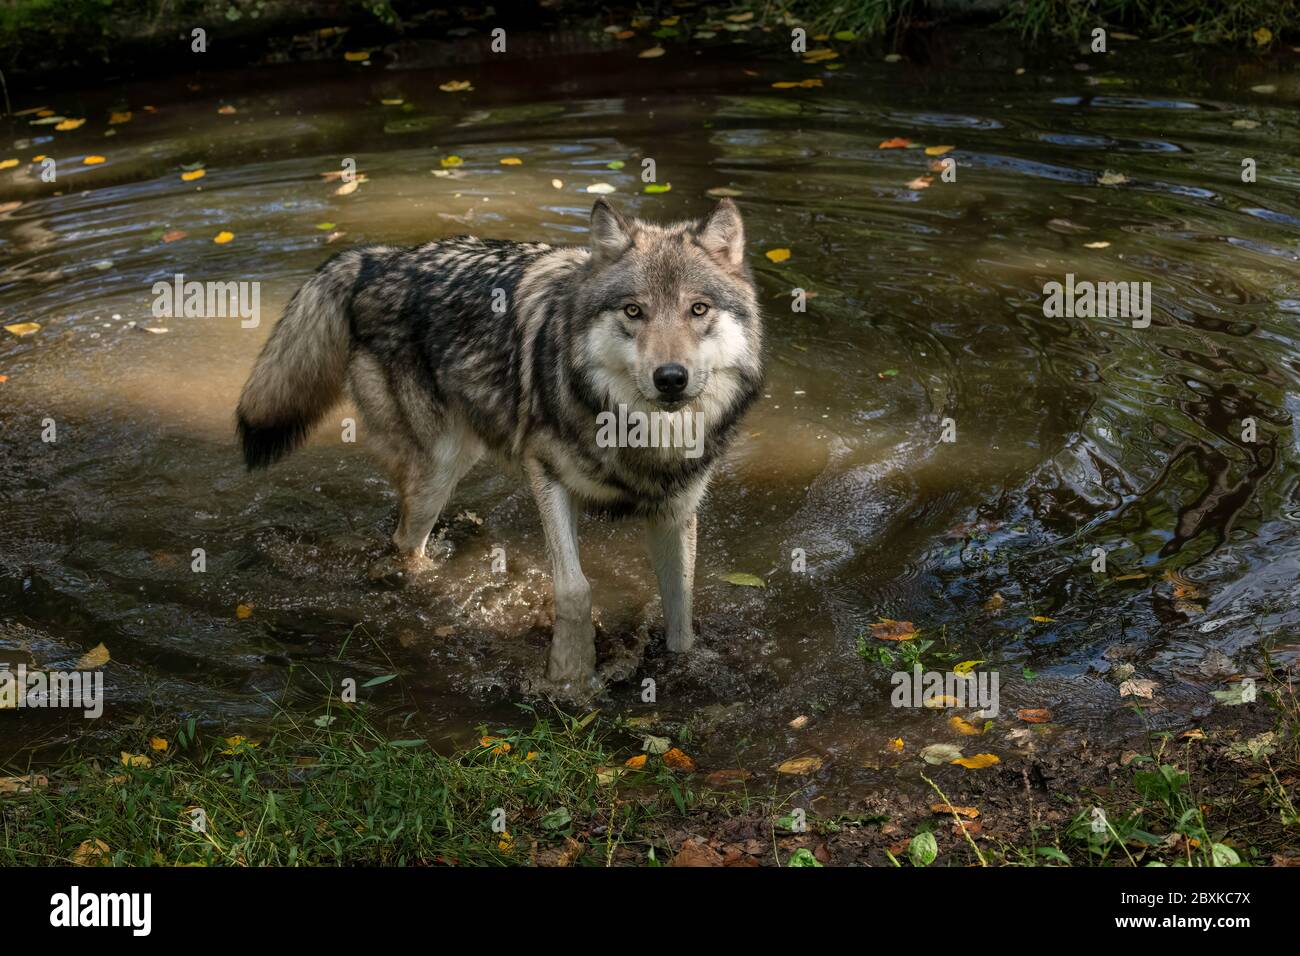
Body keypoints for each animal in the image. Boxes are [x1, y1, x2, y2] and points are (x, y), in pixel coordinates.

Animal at [236, 198, 764, 691]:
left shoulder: (675, 511)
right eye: (634, 311)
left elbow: (682, 613)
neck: (643, 433)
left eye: (698, 309)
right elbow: (575, 590)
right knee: (405, 545)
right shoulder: (544, 474)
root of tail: (377, 258)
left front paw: (683, 669)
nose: (671, 378)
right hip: (440, 467)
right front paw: (570, 680)